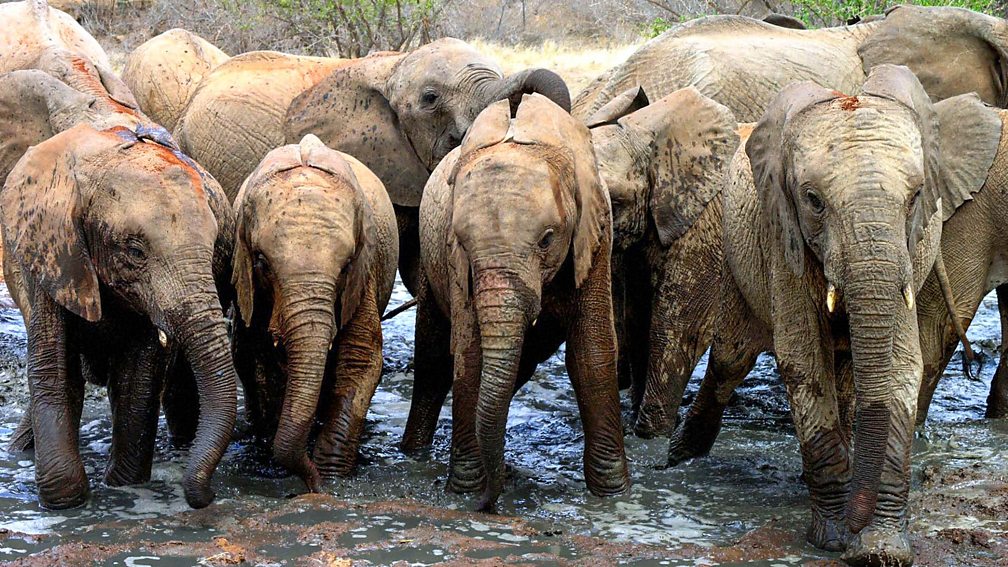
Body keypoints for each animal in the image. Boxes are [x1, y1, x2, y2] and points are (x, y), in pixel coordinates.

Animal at [1, 123, 239, 510]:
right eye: (136, 252)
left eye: (215, 246)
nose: (210, 495)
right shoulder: (52, 254)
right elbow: (54, 369)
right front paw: (67, 500)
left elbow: (137, 377)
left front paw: (122, 486)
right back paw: (19, 450)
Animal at [230, 134, 397, 489]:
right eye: (262, 263)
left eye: (346, 266)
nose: (313, 486)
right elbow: (254, 360)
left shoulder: (364, 275)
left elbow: (361, 359)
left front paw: (332, 476)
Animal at [400, 94, 630, 511]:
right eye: (461, 241)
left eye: (548, 239)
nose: (488, 504)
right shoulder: (454, 262)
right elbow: (469, 354)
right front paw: (466, 491)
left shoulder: (597, 235)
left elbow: (592, 355)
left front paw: (613, 496)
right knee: (432, 359)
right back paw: (415, 454)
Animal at [662, 65, 998, 566]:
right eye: (813, 200)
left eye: (917, 195)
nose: (857, 526)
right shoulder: (782, 241)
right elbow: (804, 363)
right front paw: (836, 538)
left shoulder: (909, 254)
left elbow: (901, 368)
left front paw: (880, 548)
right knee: (730, 360)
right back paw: (679, 459)